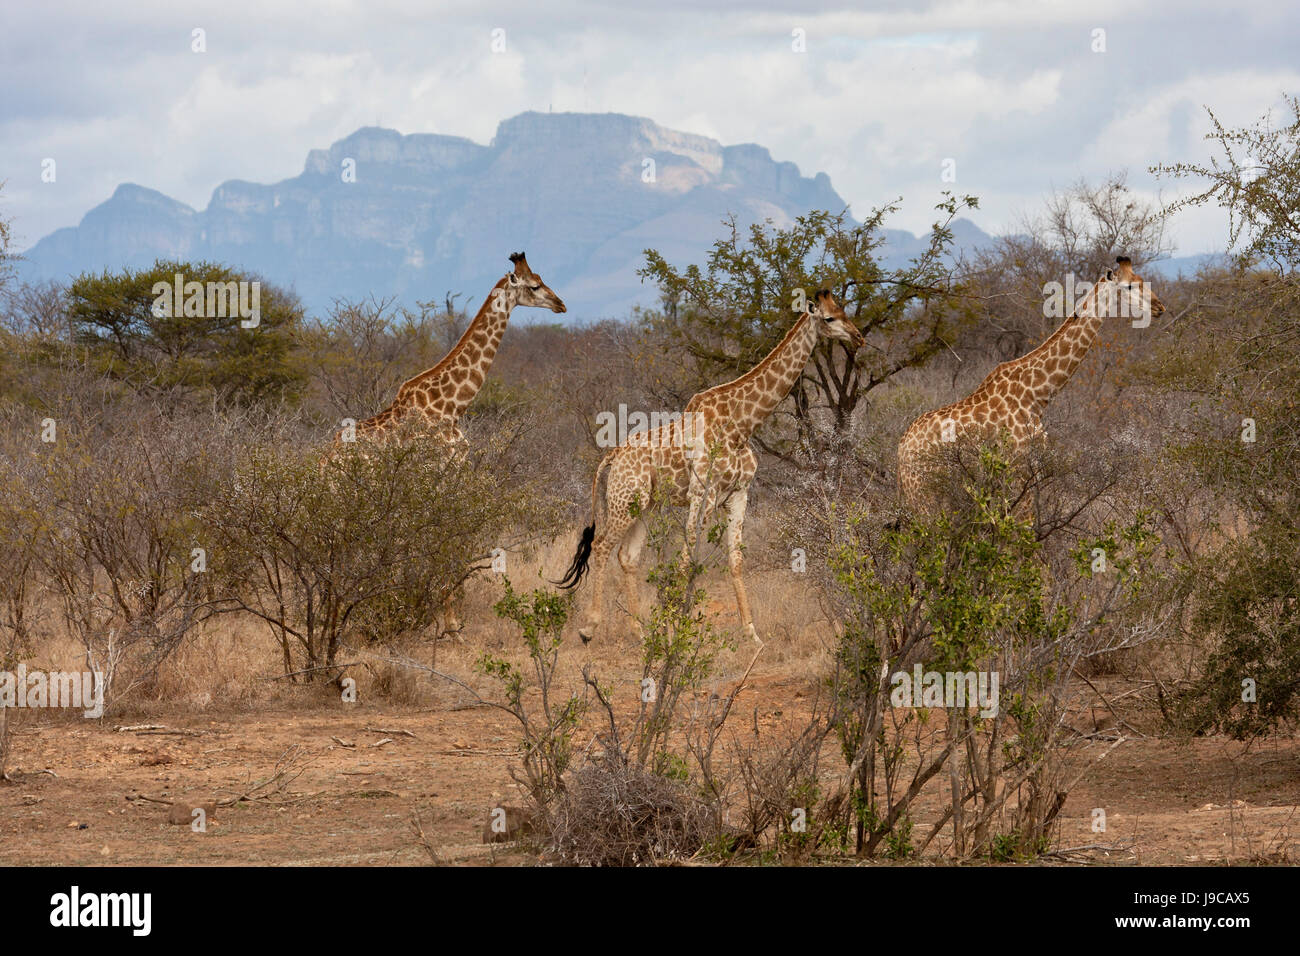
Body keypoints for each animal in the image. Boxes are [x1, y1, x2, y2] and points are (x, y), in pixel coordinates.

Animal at [556, 289, 865, 644]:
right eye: (829, 318)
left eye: (844, 311)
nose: (858, 337)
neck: (740, 426)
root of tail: (613, 456)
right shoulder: (702, 493)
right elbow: (686, 560)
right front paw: (676, 629)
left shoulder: (739, 494)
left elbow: (735, 560)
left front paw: (751, 634)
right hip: (623, 502)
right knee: (602, 546)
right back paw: (590, 627)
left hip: (642, 505)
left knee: (627, 557)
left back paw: (639, 631)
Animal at [896, 256, 1165, 510]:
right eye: (1129, 286)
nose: (1160, 307)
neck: (1037, 394)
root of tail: (900, 450)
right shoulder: (1018, 468)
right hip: (923, 493)